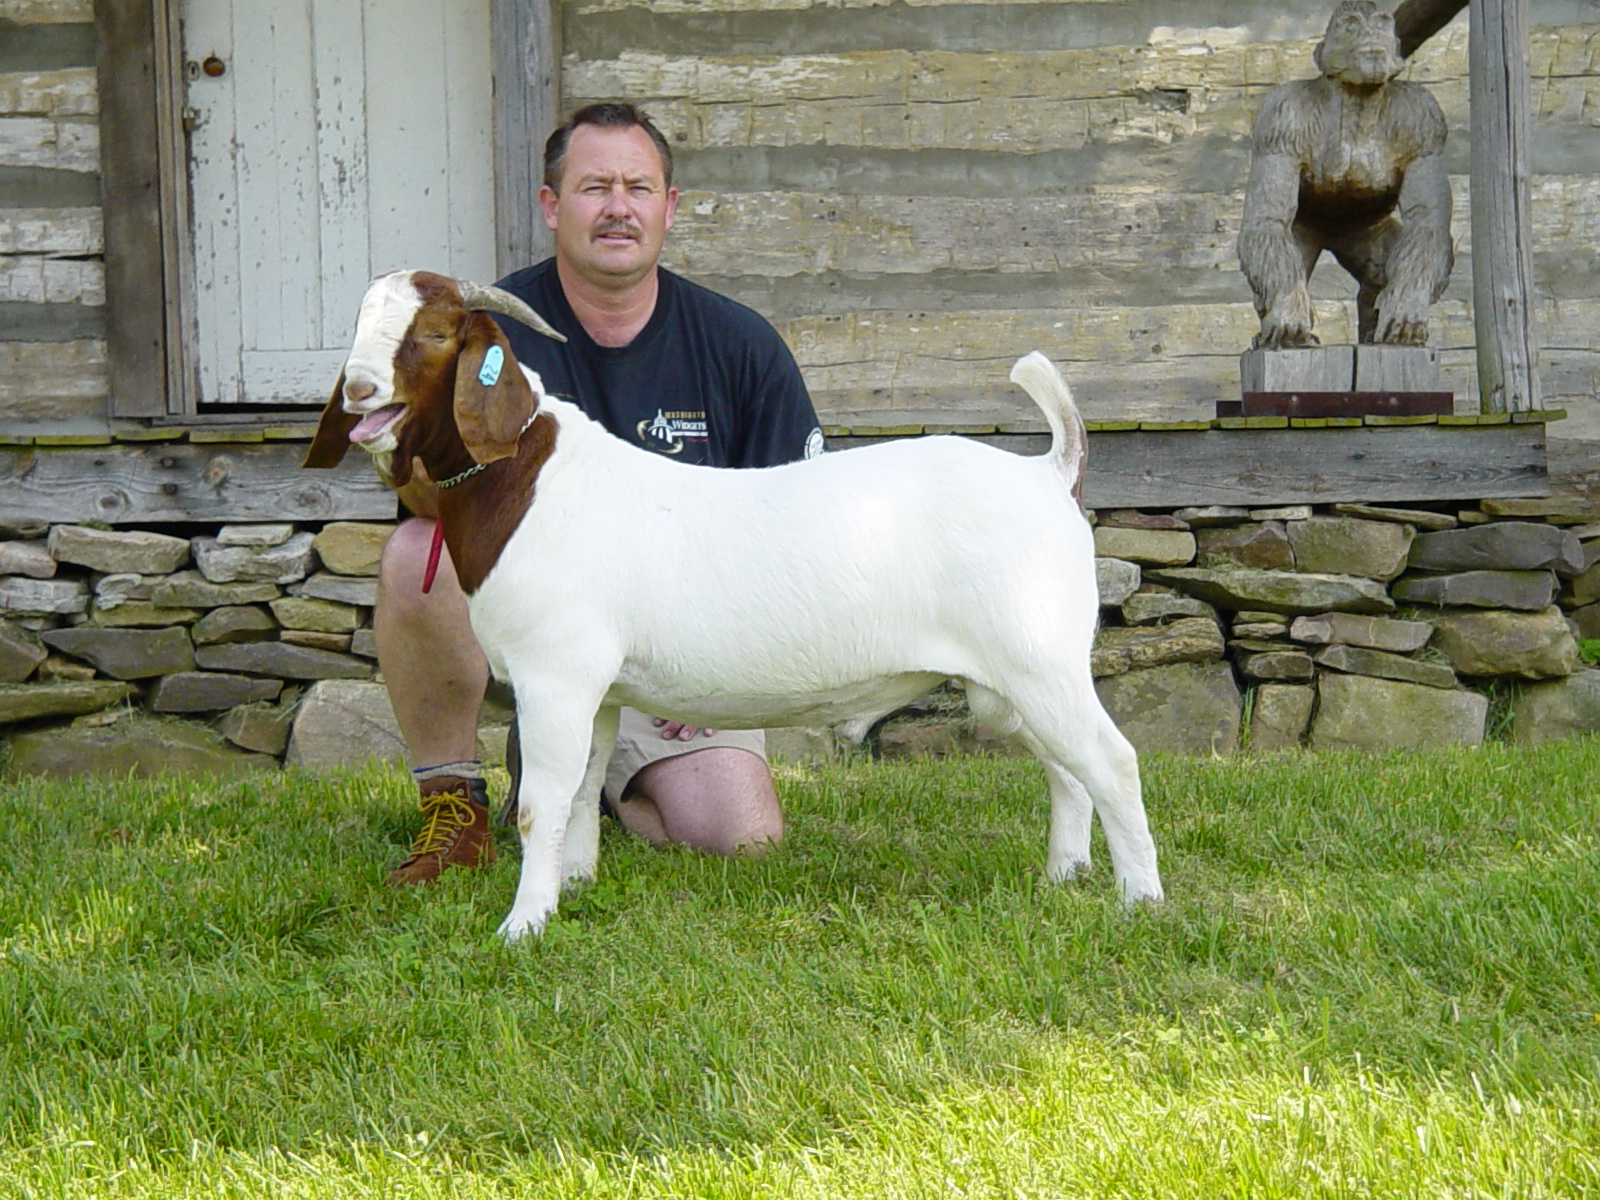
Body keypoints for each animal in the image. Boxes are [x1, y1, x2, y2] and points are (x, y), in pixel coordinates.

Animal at [306, 269, 1163, 940]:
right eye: (359, 324)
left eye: (435, 332)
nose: (358, 389)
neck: (533, 480)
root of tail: (1049, 471)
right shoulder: (598, 691)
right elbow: (580, 790)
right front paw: (575, 888)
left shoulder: (556, 675)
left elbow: (539, 804)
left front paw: (523, 925)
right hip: (1012, 680)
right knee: (1066, 771)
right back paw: (1063, 875)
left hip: (1038, 656)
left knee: (1112, 762)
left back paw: (1140, 901)